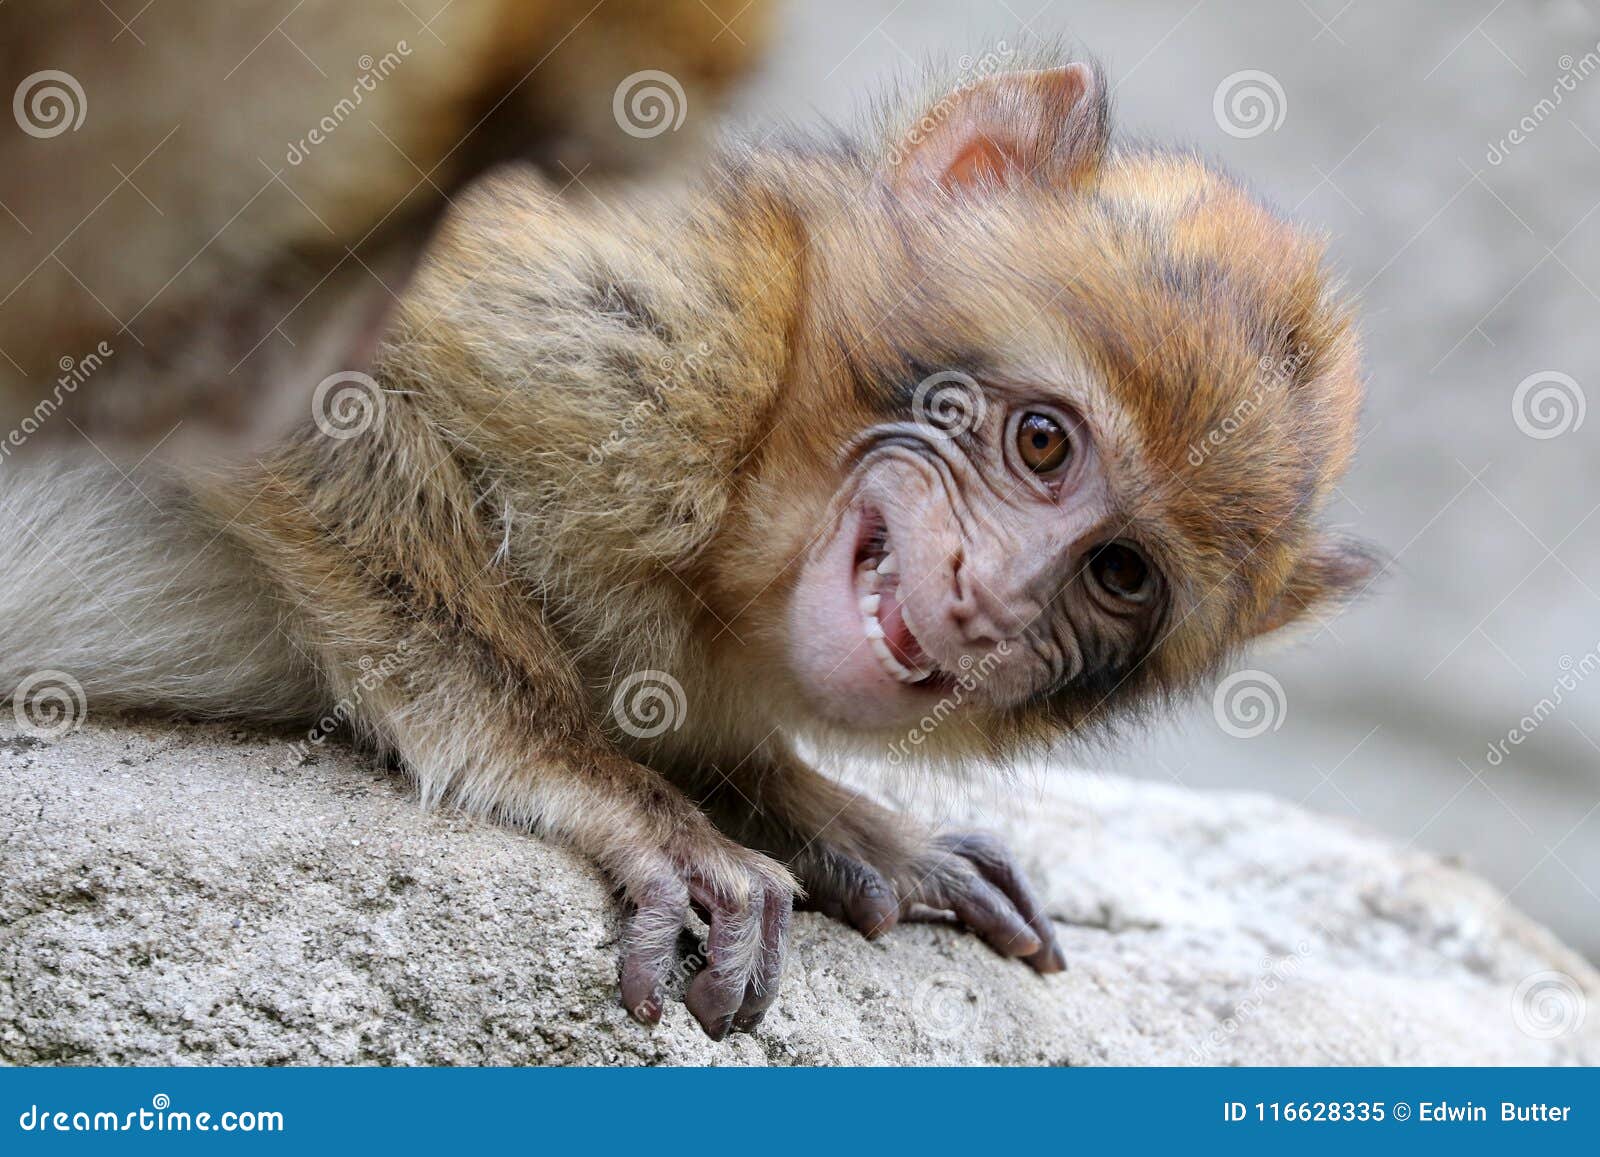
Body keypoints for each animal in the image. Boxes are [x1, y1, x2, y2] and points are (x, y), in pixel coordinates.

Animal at [0, 52, 1375, 1040]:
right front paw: (591, 777)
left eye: (1118, 573)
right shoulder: (643, 326)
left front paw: (829, 811)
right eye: (1043, 442)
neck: (754, 458)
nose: (989, 602)